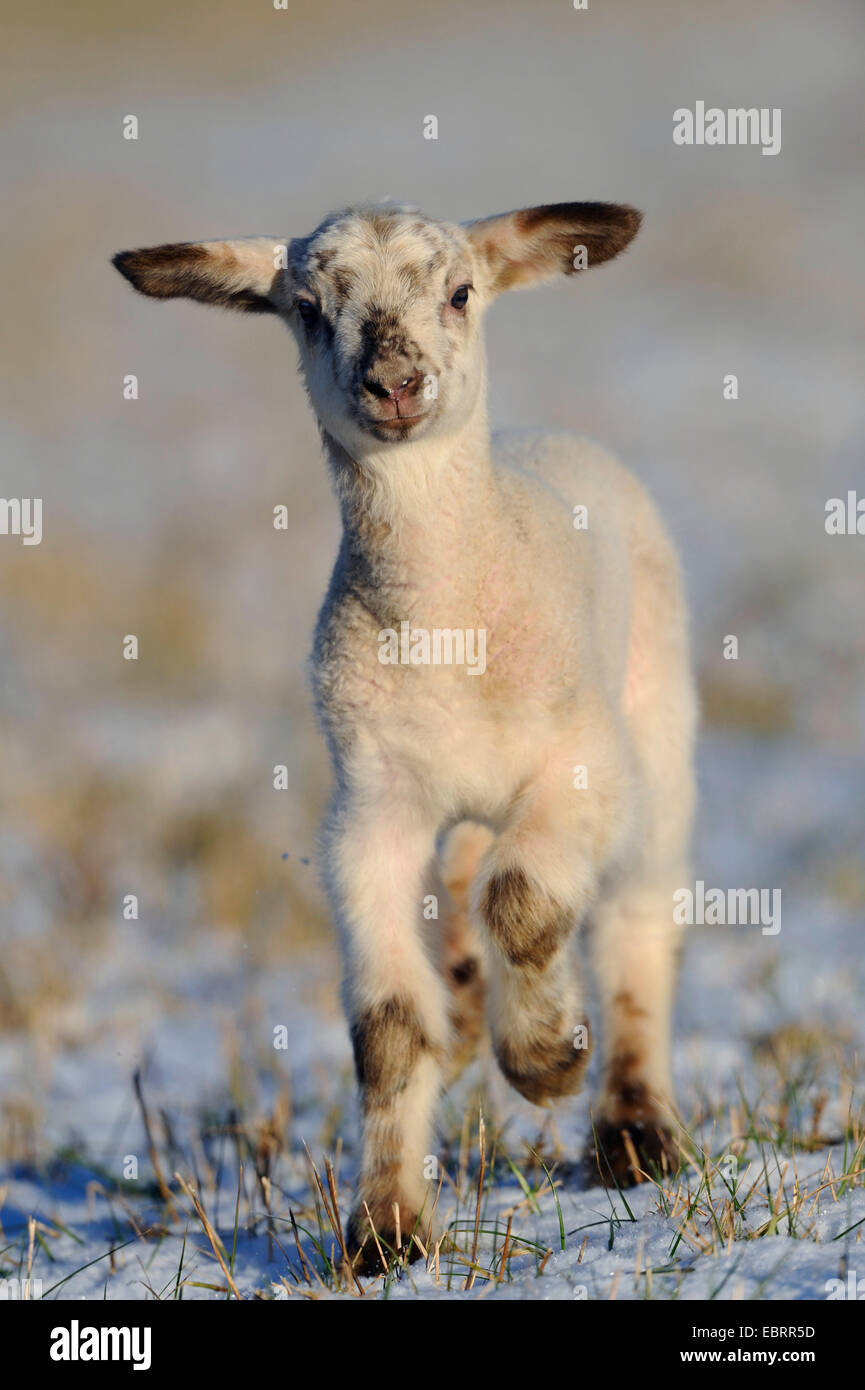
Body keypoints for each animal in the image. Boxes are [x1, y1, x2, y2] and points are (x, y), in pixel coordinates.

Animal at [113, 200, 697, 1273]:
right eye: (306, 308)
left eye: (461, 293)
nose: (393, 384)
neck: (446, 628)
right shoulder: (371, 809)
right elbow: (386, 1028)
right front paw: (384, 1233)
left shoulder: (585, 770)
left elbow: (526, 902)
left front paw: (545, 1057)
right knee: (467, 890)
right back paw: (466, 1010)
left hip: (657, 730)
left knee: (633, 920)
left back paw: (633, 1132)